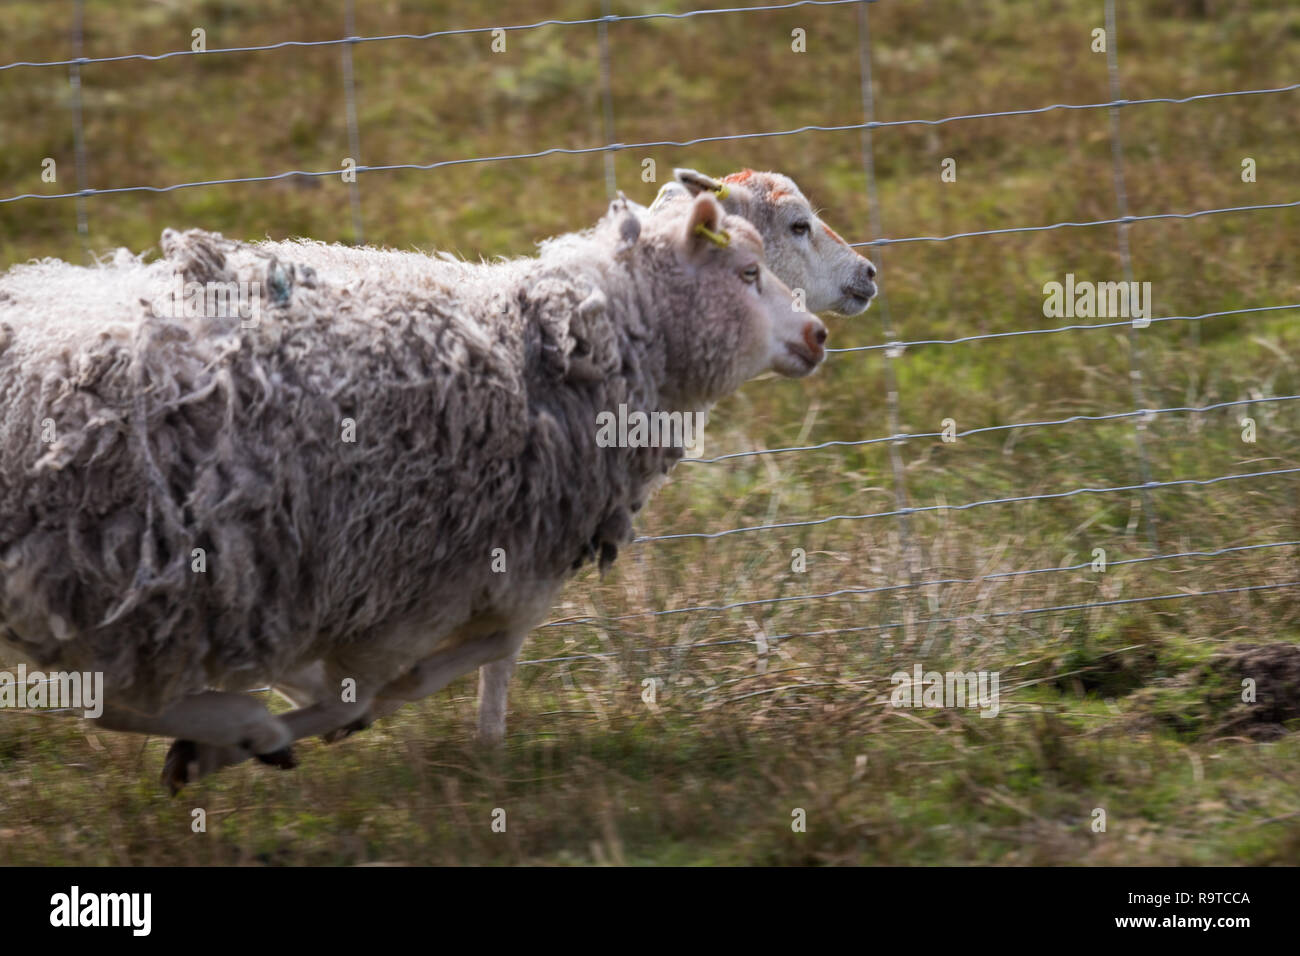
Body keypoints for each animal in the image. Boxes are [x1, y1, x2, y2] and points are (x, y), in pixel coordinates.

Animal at [0, 193, 827, 791]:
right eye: (746, 273)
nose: (817, 334)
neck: (562, 348)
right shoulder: (418, 579)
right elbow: (387, 683)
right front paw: (253, 735)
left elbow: (464, 657)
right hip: (134, 566)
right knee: (109, 701)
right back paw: (241, 726)